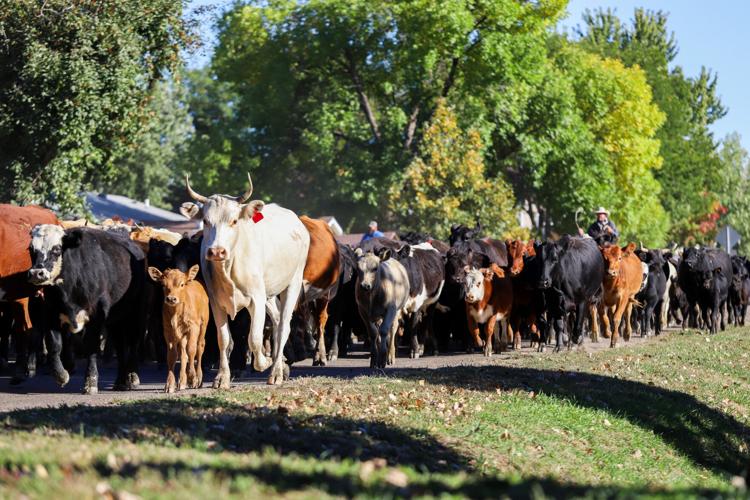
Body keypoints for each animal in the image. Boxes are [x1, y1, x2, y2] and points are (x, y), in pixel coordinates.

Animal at [28, 226, 147, 394]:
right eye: (31, 249)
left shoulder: (96, 315)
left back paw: (132, 377)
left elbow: (91, 346)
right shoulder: (51, 313)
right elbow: (54, 345)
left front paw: (90, 381)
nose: (36, 273)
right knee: (120, 346)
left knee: (133, 342)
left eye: (57, 249)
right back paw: (120, 381)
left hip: (136, 312)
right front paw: (61, 375)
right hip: (115, 320)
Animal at [180, 174, 310, 387]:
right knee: (276, 319)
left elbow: (254, 338)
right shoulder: (216, 302)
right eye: (206, 221)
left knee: (283, 325)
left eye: (234, 221)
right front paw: (222, 378)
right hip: (268, 294)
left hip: (293, 282)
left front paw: (264, 363)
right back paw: (282, 364)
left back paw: (276, 371)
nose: (217, 251)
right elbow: (224, 339)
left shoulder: (256, 299)